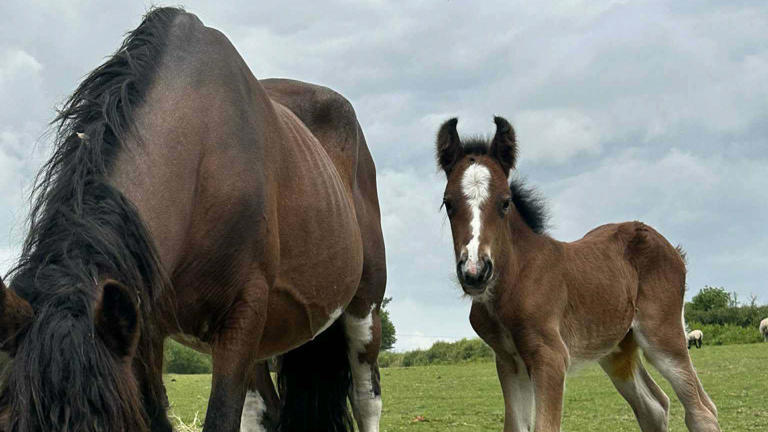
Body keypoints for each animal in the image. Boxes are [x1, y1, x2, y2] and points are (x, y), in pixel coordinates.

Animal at [434, 117, 721, 432]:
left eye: (505, 202)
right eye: (448, 203)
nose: (475, 272)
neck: (514, 282)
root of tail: (667, 245)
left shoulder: (551, 357)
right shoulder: (508, 360)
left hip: (662, 335)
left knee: (701, 411)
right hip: (616, 348)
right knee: (654, 406)